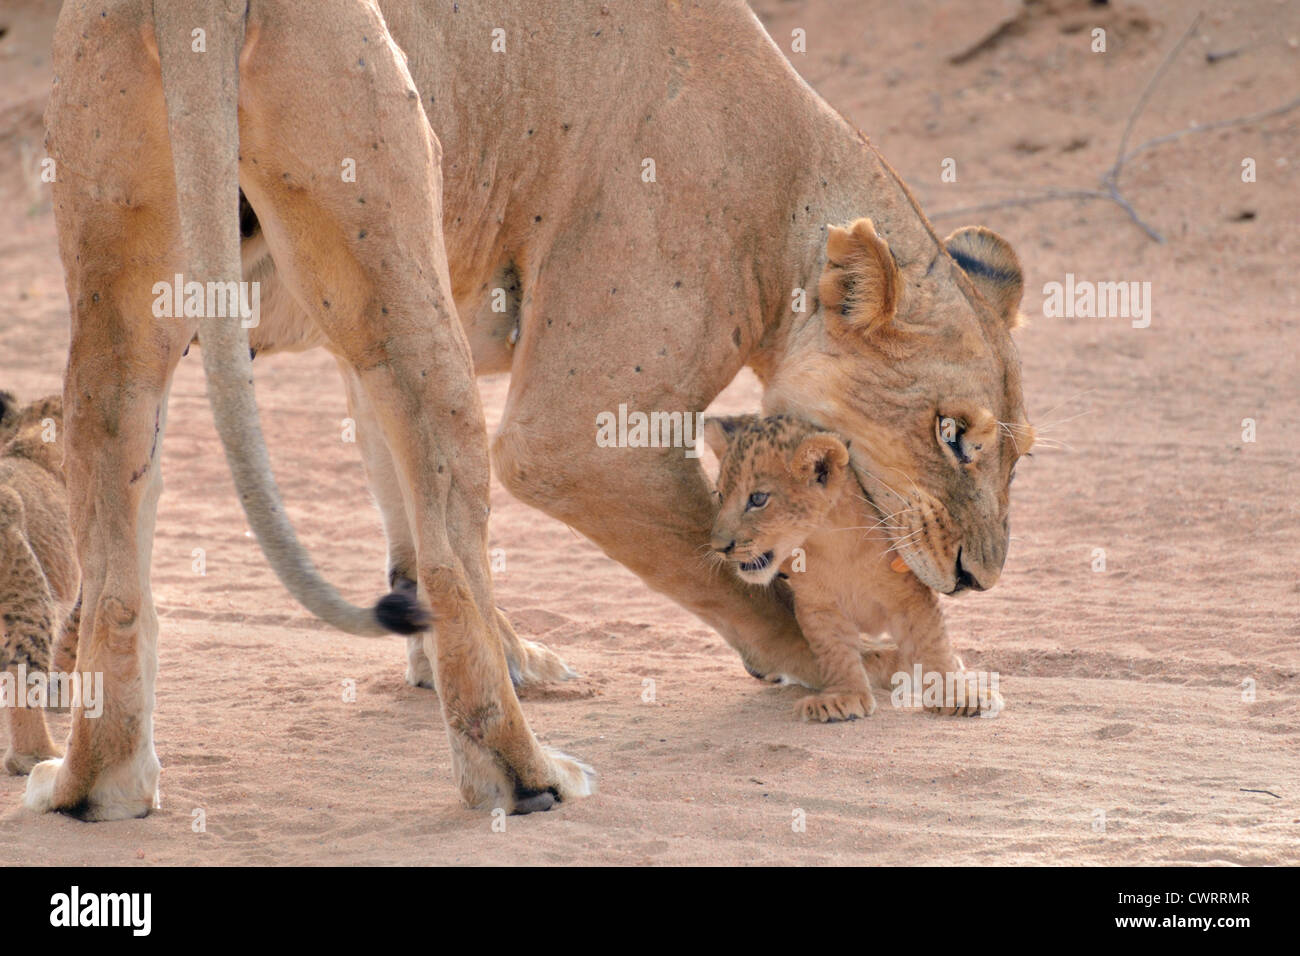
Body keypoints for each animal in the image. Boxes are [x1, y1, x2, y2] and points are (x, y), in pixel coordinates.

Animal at [704, 412, 1008, 721]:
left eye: (757, 499)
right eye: (719, 495)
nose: (719, 547)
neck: (831, 542)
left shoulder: (910, 595)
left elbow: (932, 644)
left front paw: (958, 697)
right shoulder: (819, 606)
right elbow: (834, 651)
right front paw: (843, 698)